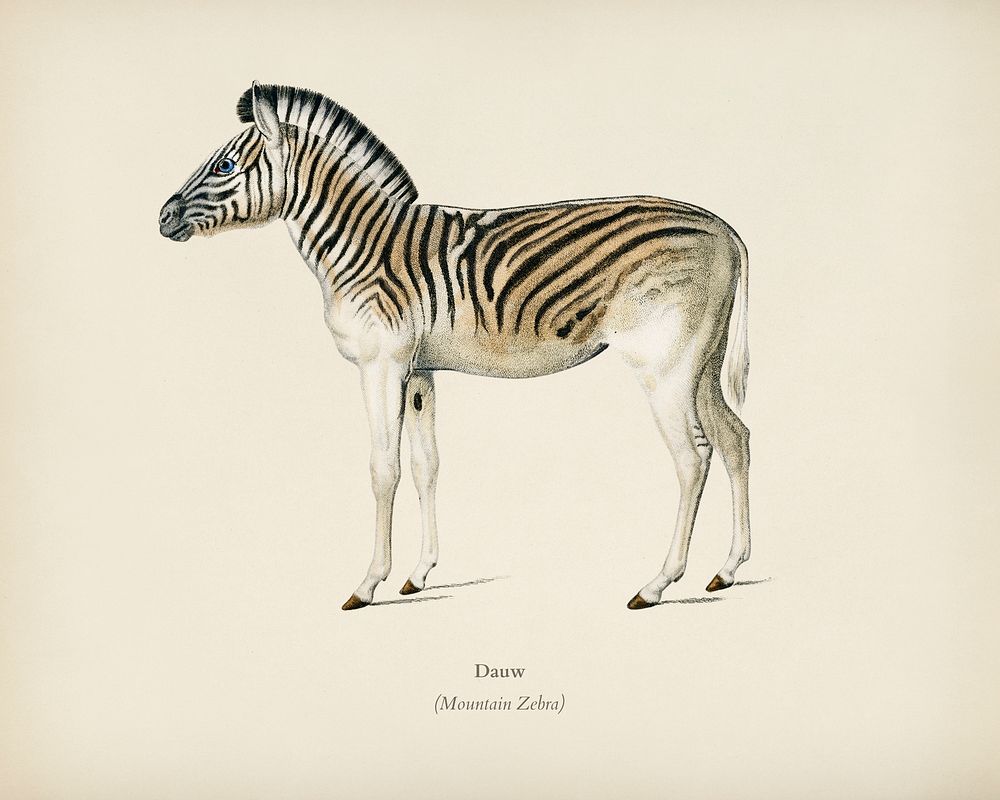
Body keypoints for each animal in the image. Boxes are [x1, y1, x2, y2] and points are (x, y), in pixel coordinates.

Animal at [158, 82, 752, 611]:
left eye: (224, 167)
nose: (162, 216)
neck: (363, 247)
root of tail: (724, 228)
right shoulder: (418, 370)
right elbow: (427, 465)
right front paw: (418, 575)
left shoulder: (381, 364)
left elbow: (383, 468)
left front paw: (367, 585)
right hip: (701, 361)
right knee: (734, 438)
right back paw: (726, 569)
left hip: (665, 367)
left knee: (692, 457)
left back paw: (657, 585)